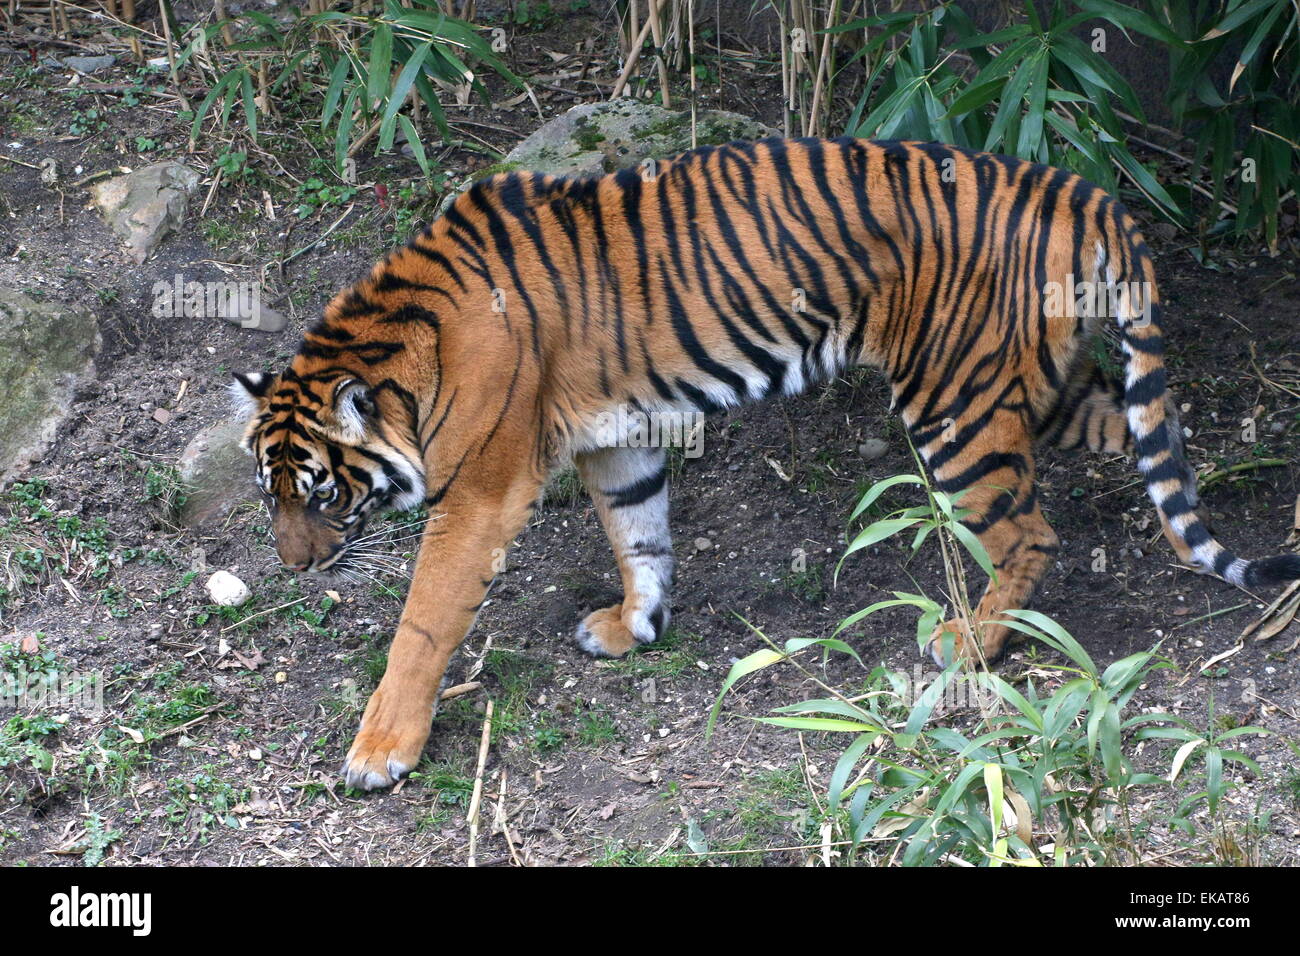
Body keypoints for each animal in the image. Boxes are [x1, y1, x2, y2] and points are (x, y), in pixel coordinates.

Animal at [233, 137, 1300, 791]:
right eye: (268, 495)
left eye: (321, 491)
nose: (291, 567)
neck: (407, 353)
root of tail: (1080, 190)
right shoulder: (615, 435)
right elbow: (640, 532)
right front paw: (635, 626)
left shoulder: (485, 492)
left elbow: (424, 620)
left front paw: (380, 751)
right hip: (1044, 386)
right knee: (1156, 443)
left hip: (955, 402)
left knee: (1032, 531)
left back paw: (968, 646)